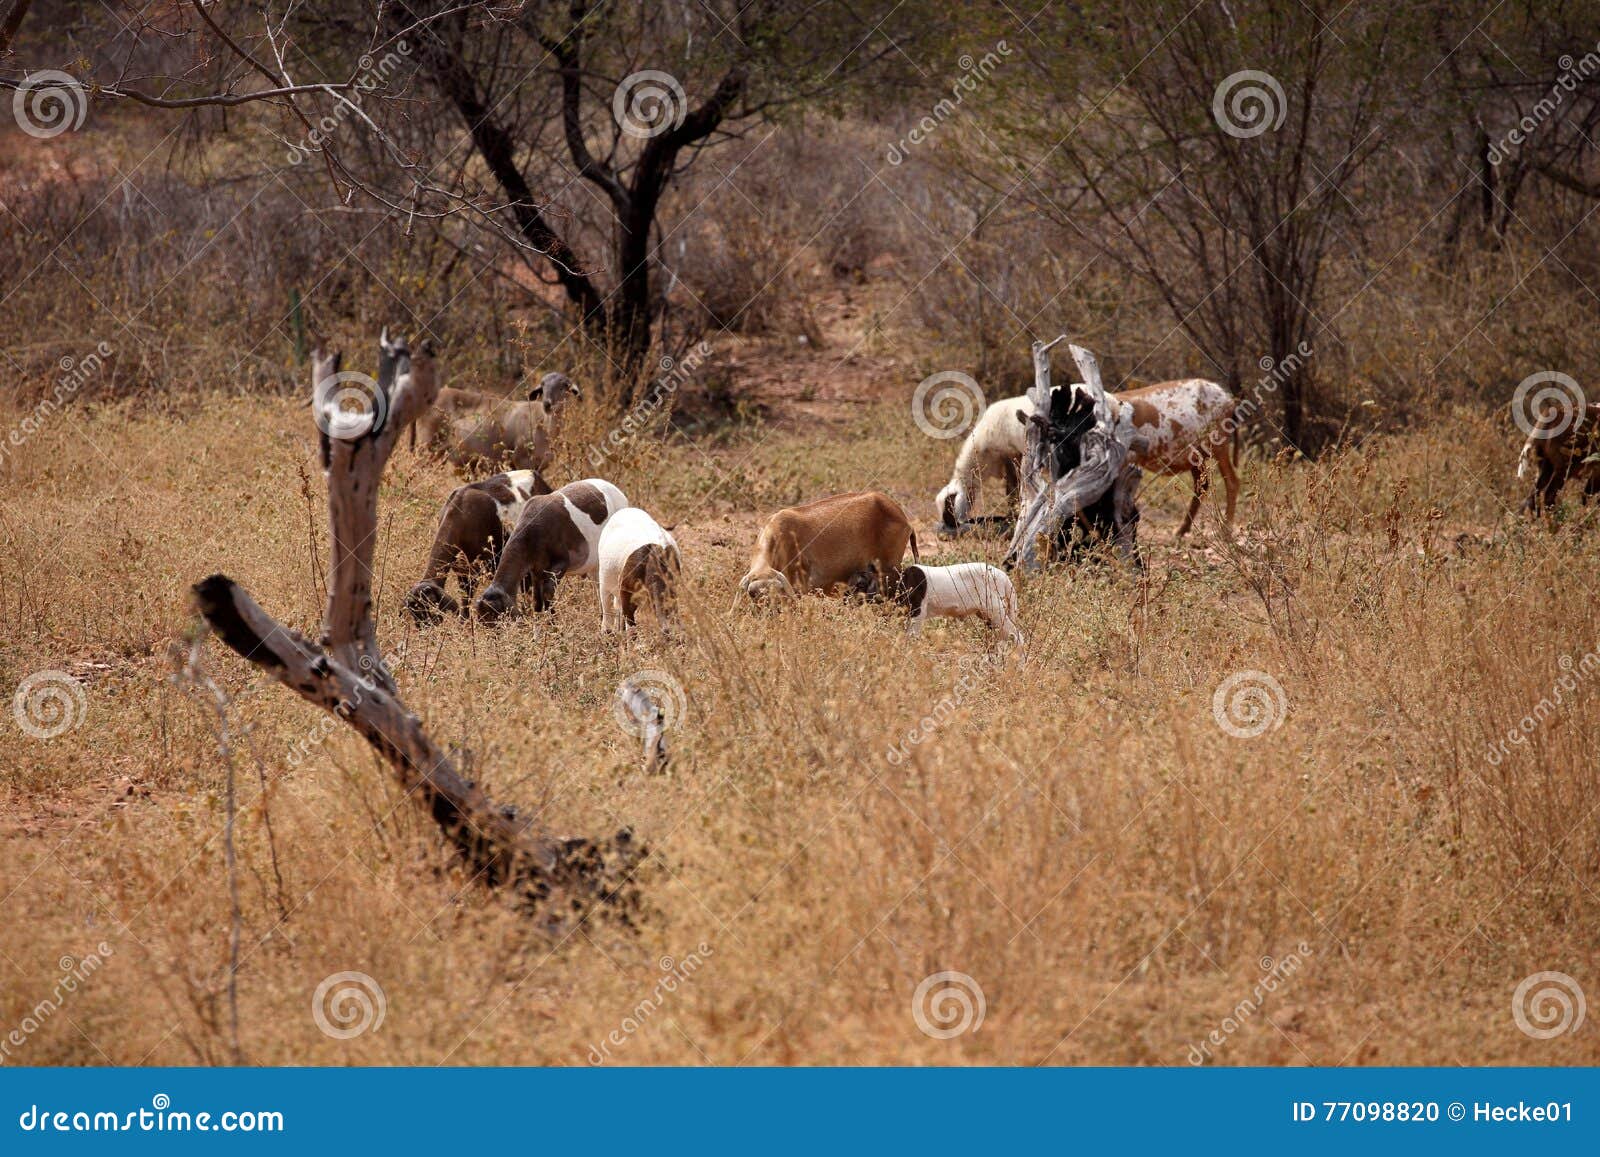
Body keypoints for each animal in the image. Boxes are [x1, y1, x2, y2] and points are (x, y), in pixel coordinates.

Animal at [474, 478, 627, 621]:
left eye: (498, 617)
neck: (532, 532)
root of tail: (619, 493)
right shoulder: (536, 569)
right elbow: (537, 600)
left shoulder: (561, 563)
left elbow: (547, 593)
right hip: (595, 564)